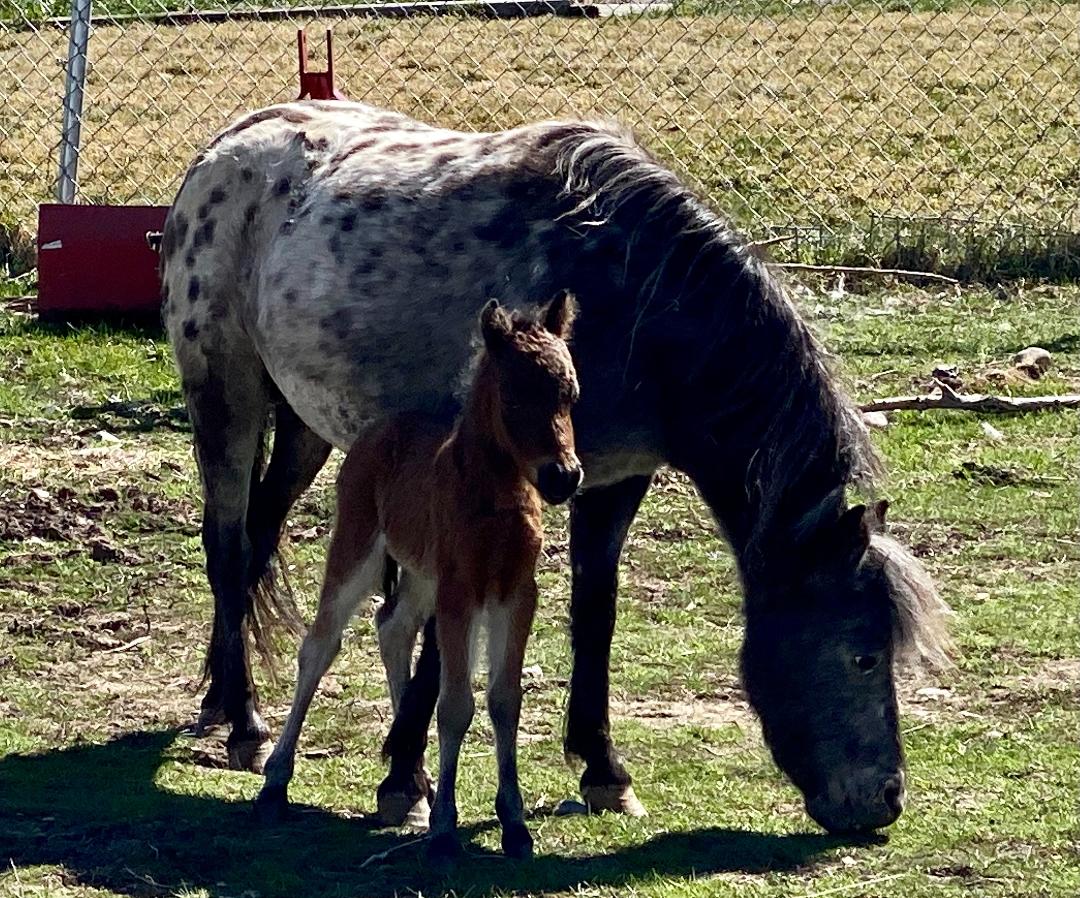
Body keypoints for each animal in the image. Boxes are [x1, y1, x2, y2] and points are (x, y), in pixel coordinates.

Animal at [254, 294, 581, 859]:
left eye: (571, 393)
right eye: (514, 397)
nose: (564, 476)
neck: (495, 497)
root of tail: (378, 428)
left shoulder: (517, 592)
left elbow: (505, 701)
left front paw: (514, 825)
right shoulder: (459, 592)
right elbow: (454, 705)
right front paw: (446, 829)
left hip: (423, 574)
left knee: (393, 627)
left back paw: (412, 783)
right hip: (359, 547)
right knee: (320, 645)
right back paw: (276, 781)